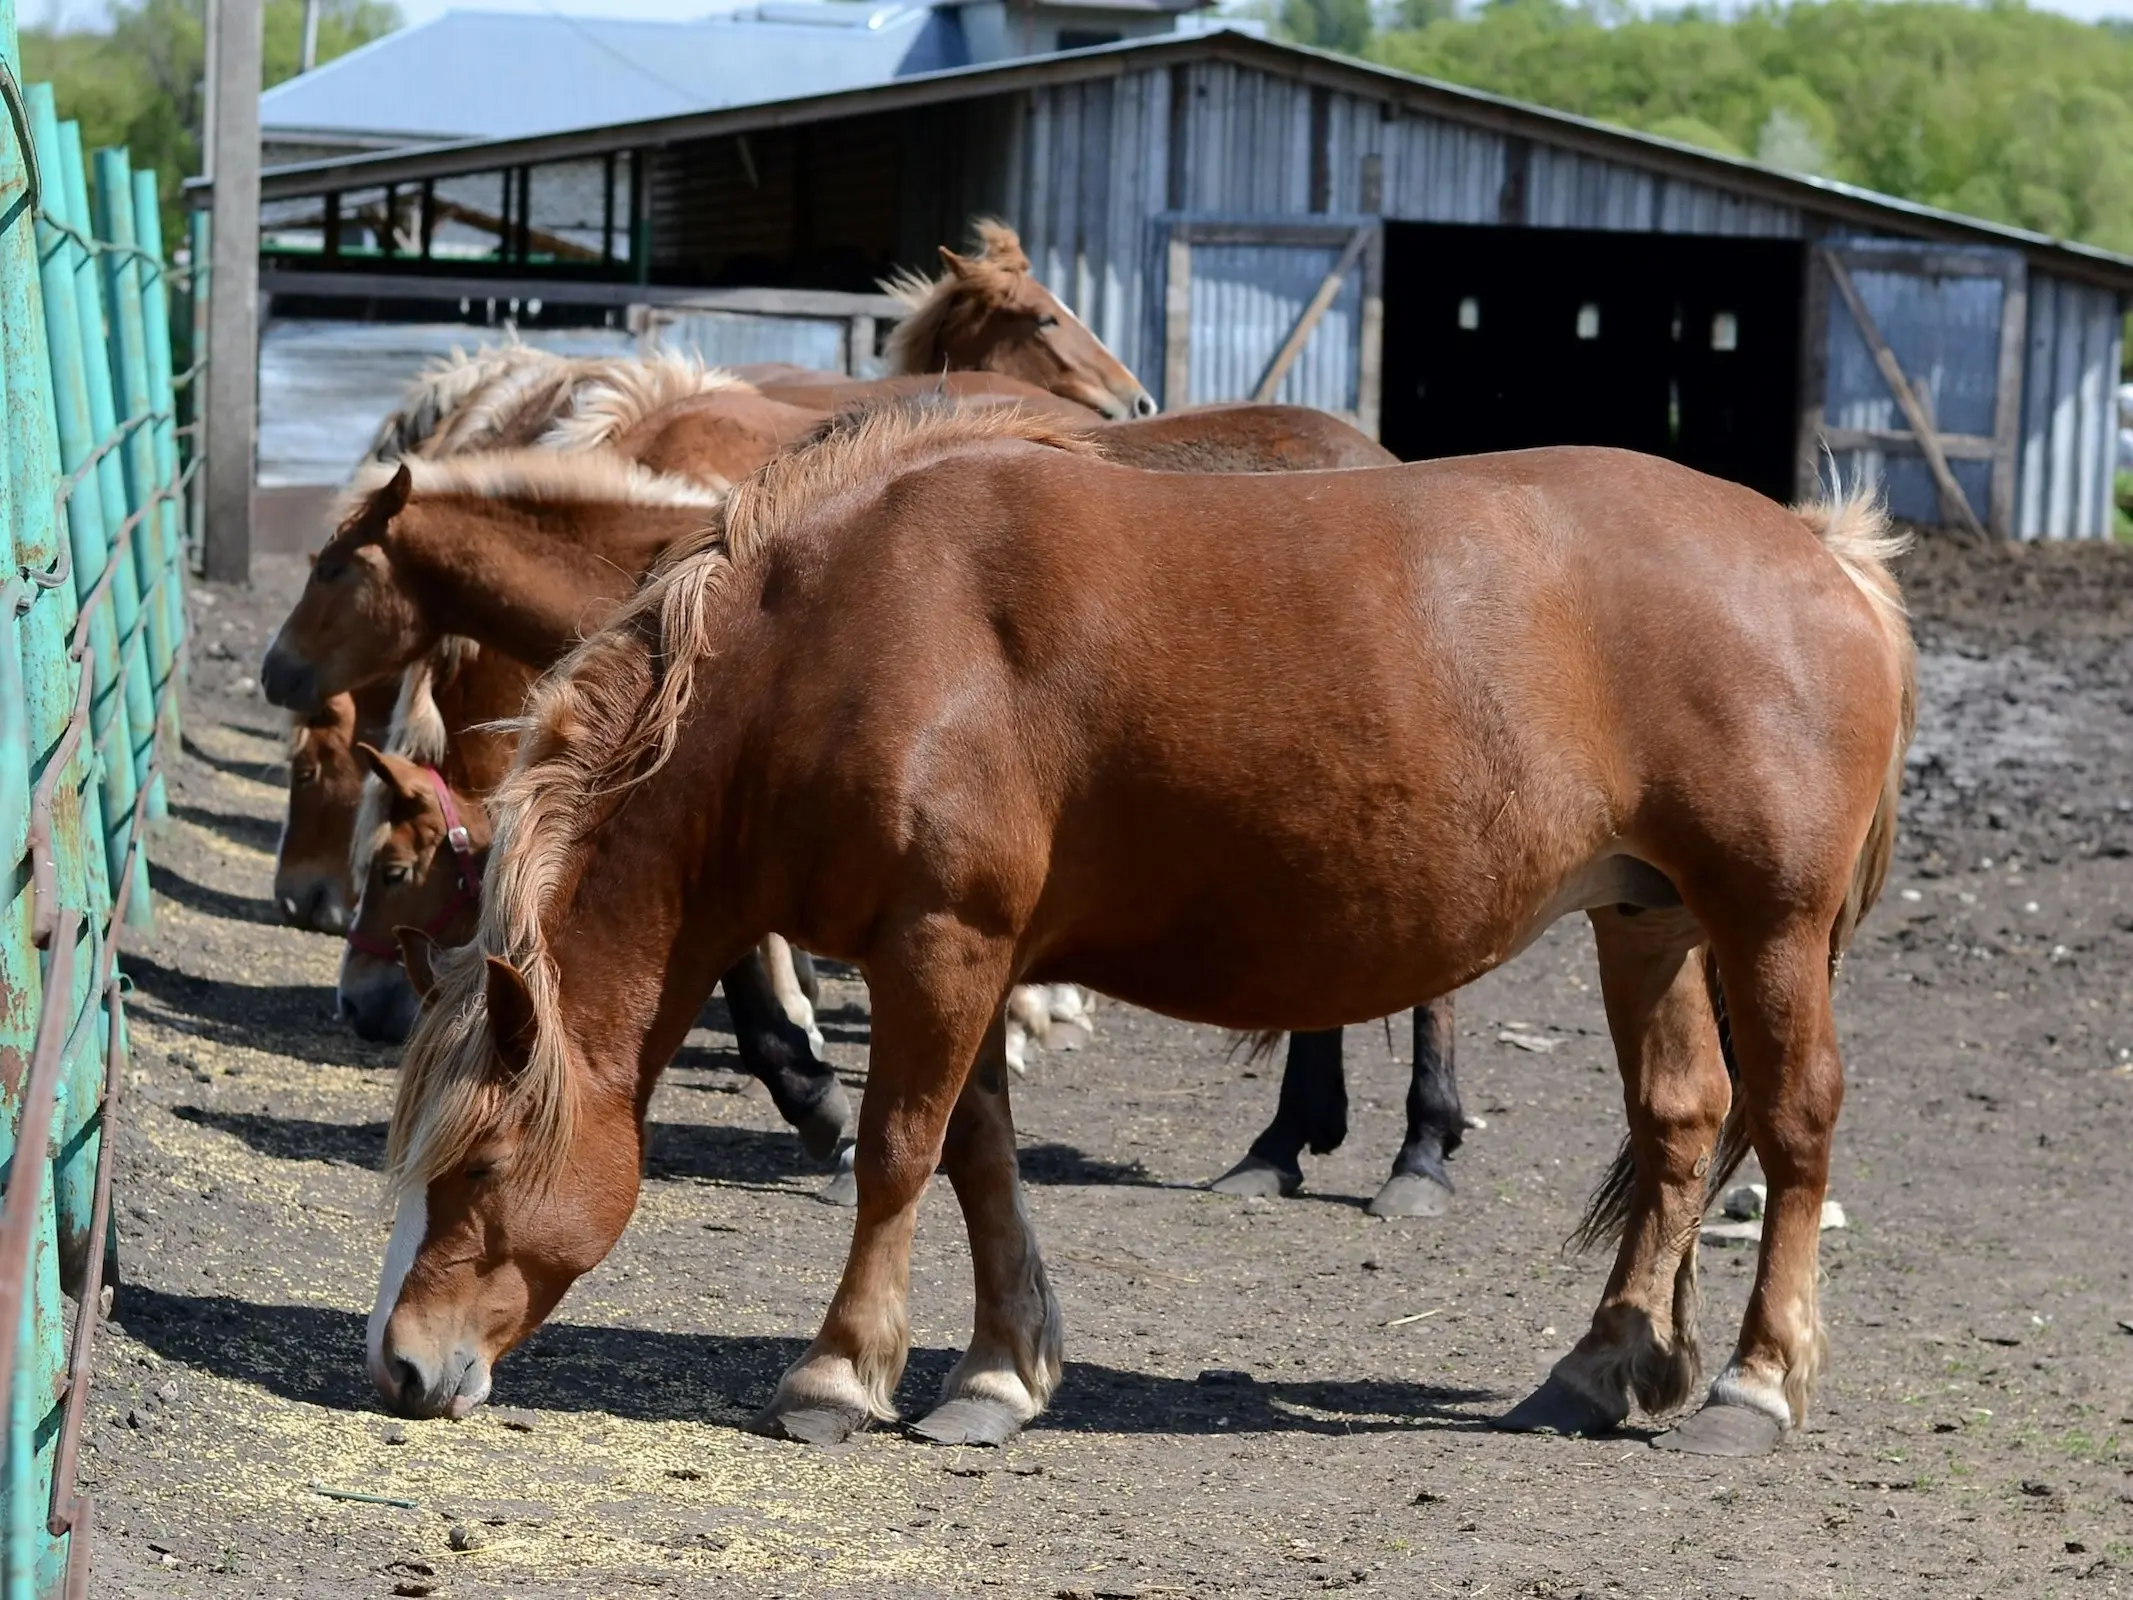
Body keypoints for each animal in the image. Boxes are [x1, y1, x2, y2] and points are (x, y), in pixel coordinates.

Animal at [368, 406, 1913, 1464]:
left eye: (483, 1161)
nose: (401, 1366)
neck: (855, 640)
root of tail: (1822, 553)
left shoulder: (941, 944)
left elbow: (897, 1155)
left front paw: (839, 1372)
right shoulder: (967, 958)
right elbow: (980, 1162)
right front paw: (999, 1371)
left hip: (1765, 925)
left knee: (1793, 1126)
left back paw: (1751, 1385)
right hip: (1648, 920)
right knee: (1679, 1123)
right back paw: (1606, 1365)